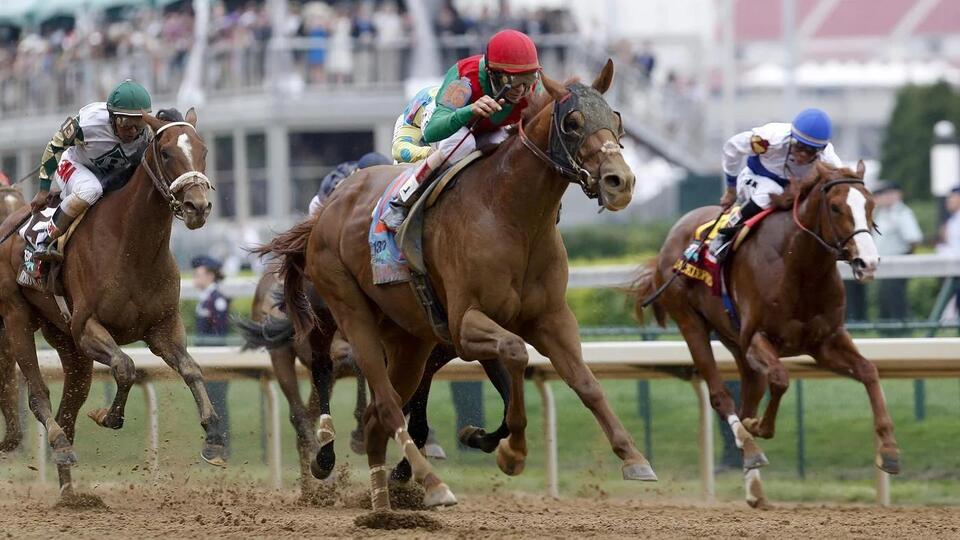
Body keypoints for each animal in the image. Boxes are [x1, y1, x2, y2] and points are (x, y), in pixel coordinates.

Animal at [0, 108, 224, 502]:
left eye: (203, 150)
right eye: (166, 152)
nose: (198, 206)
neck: (132, 246)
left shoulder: (163, 328)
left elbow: (192, 370)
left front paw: (212, 437)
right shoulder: (86, 327)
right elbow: (125, 366)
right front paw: (108, 416)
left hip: (66, 344)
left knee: (70, 407)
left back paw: (70, 493)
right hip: (18, 319)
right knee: (39, 396)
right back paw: (59, 445)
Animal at [258, 59, 655, 512]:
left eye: (616, 120)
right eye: (572, 122)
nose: (620, 182)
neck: (512, 215)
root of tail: (328, 207)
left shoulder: (550, 317)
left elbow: (585, 382)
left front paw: (633, 457)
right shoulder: (465, 323)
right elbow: (515, 353)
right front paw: (512, 452)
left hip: (409, 340)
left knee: (380, 412)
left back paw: (383, 498)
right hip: (345, 311)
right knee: (367, 394)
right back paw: (401, 476)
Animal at [630, 161, 899, 507]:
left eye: (870, 205)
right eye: (836, 207)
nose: (868, 262)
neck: (799, 266)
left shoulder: (825, 341)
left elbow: (869, 371)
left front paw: (889, 451)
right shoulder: (759, 339)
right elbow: (781, 380)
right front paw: (760, 427)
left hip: (734, 342)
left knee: (748, 395)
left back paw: (754, 483)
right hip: (692, 324)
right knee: (721, 396)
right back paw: (751, 447)